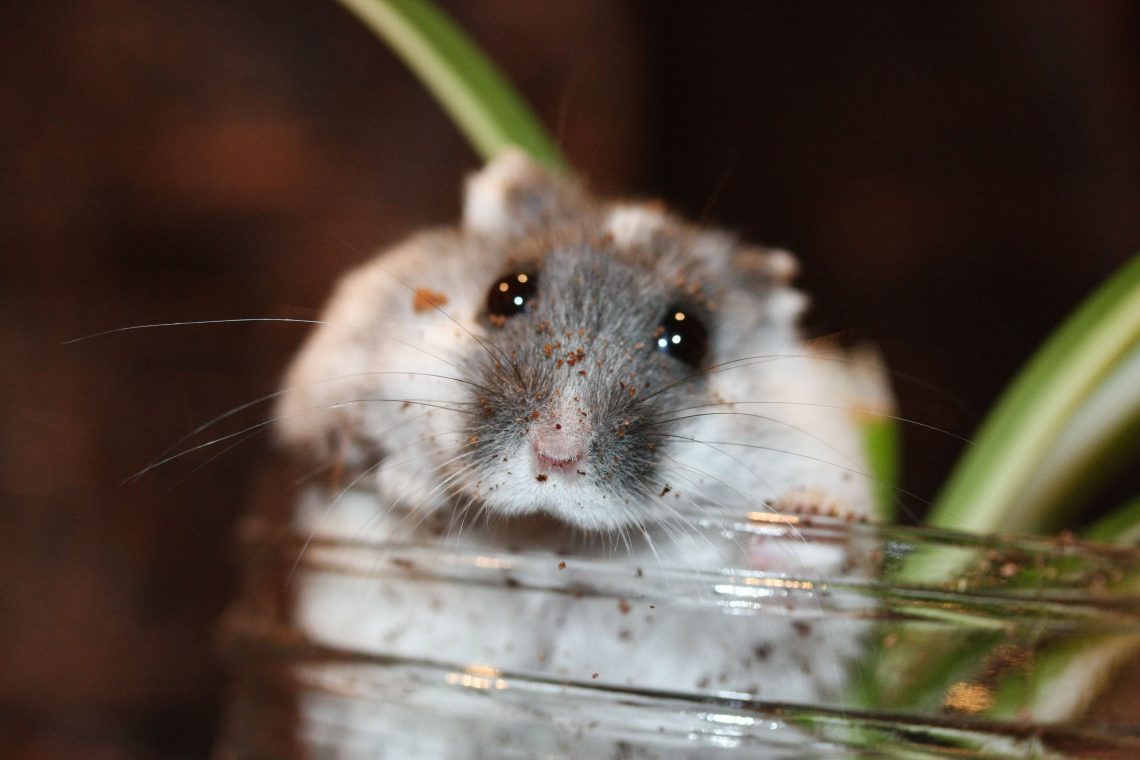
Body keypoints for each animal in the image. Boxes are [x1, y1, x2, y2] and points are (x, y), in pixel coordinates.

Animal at [268, 150, 887, 758]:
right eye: (505, 292)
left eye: (689, 338)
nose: (555, 458)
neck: (553, 536)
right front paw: (415, 490)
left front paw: (809, 518)